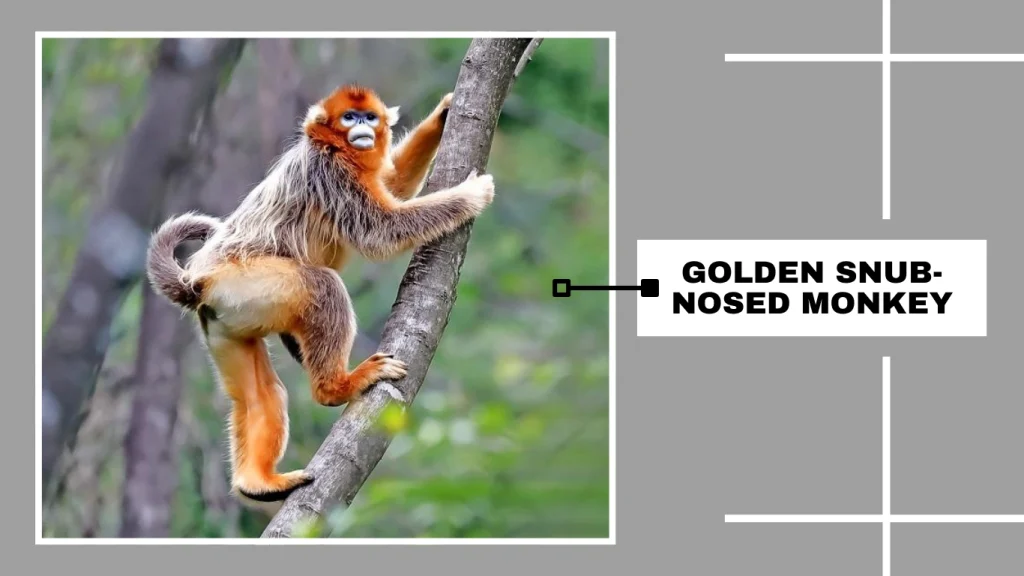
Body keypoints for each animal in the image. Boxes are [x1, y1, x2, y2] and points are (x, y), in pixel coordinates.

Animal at [145, 85, 495, 509]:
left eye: (369, 117)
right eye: (349, 117)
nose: (362, 128)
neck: (333, 147)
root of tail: (197, 280)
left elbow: (392, 183)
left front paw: (443, 114)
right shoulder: (331, 173)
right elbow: (382, 230)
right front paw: (470, 195)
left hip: (225, 325)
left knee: (260, 397)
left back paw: (257, 483)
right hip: (247, 283)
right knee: (323, 285)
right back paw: (336, 387)